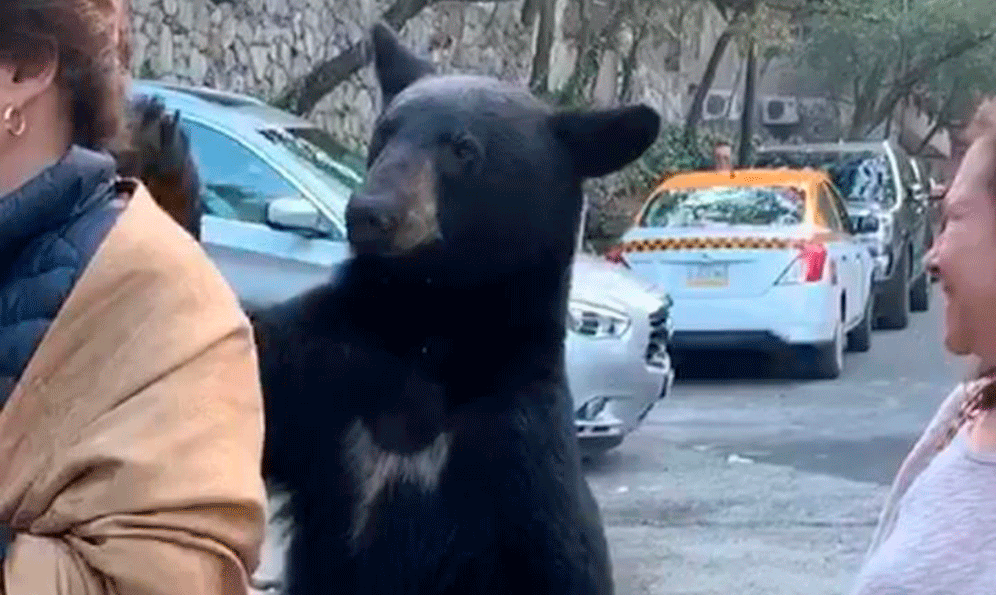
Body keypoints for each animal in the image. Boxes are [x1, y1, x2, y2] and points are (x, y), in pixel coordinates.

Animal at [247, 22, 661, 595]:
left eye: (463, 148)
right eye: (385, 131)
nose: (370, 212)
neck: (432, 325)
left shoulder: (518, 453)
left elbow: (556, 559)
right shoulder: (328, 372)